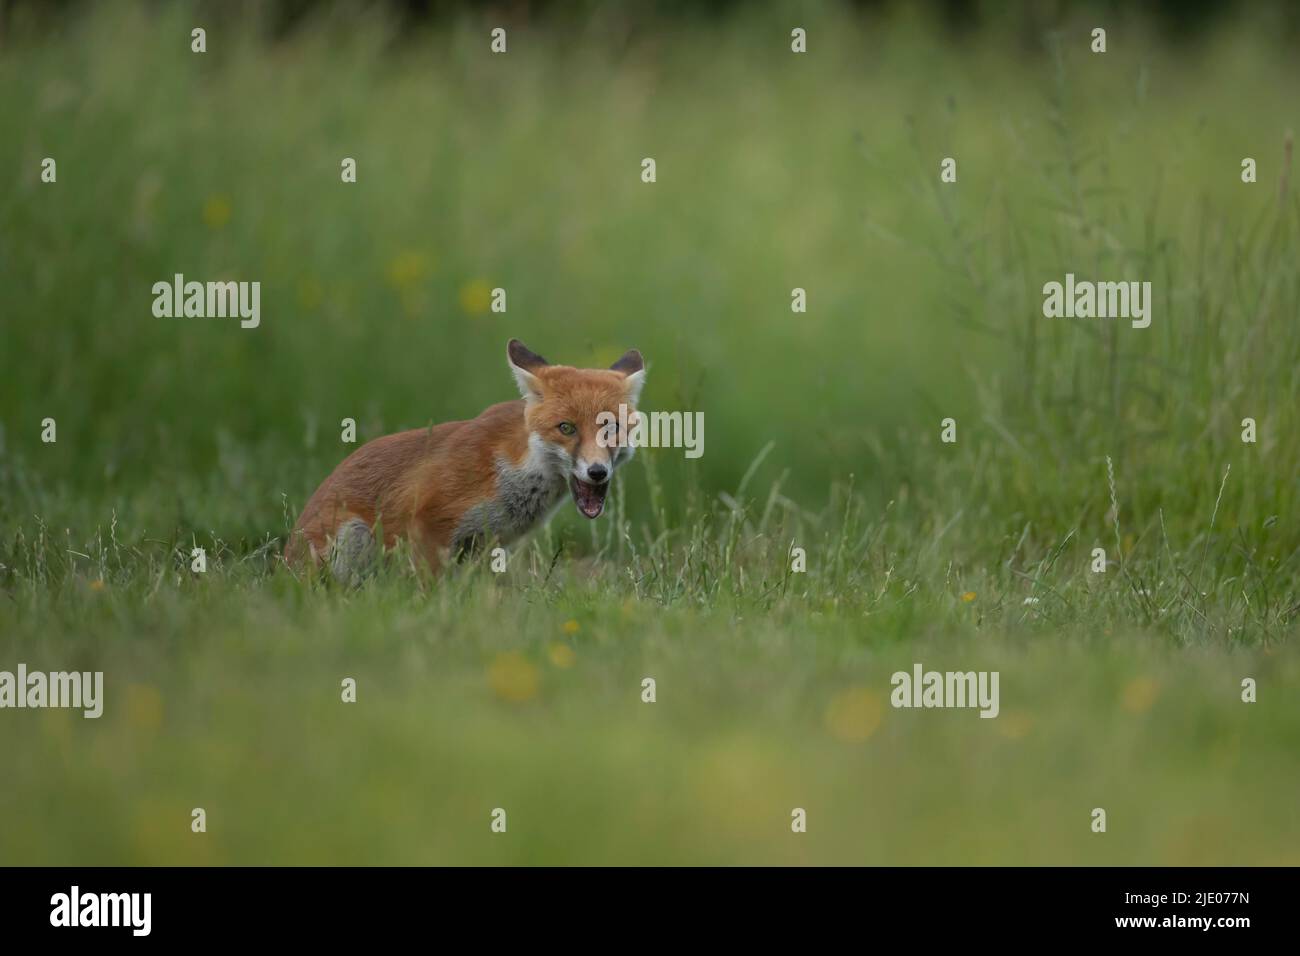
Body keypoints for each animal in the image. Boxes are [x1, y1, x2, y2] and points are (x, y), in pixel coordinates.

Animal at [284, 339, 645, 579]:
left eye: (612, 428)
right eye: (566, 428)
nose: (597, 472)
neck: (516, 472)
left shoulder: (486, 545)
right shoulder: (429, 520)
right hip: (355, 536)